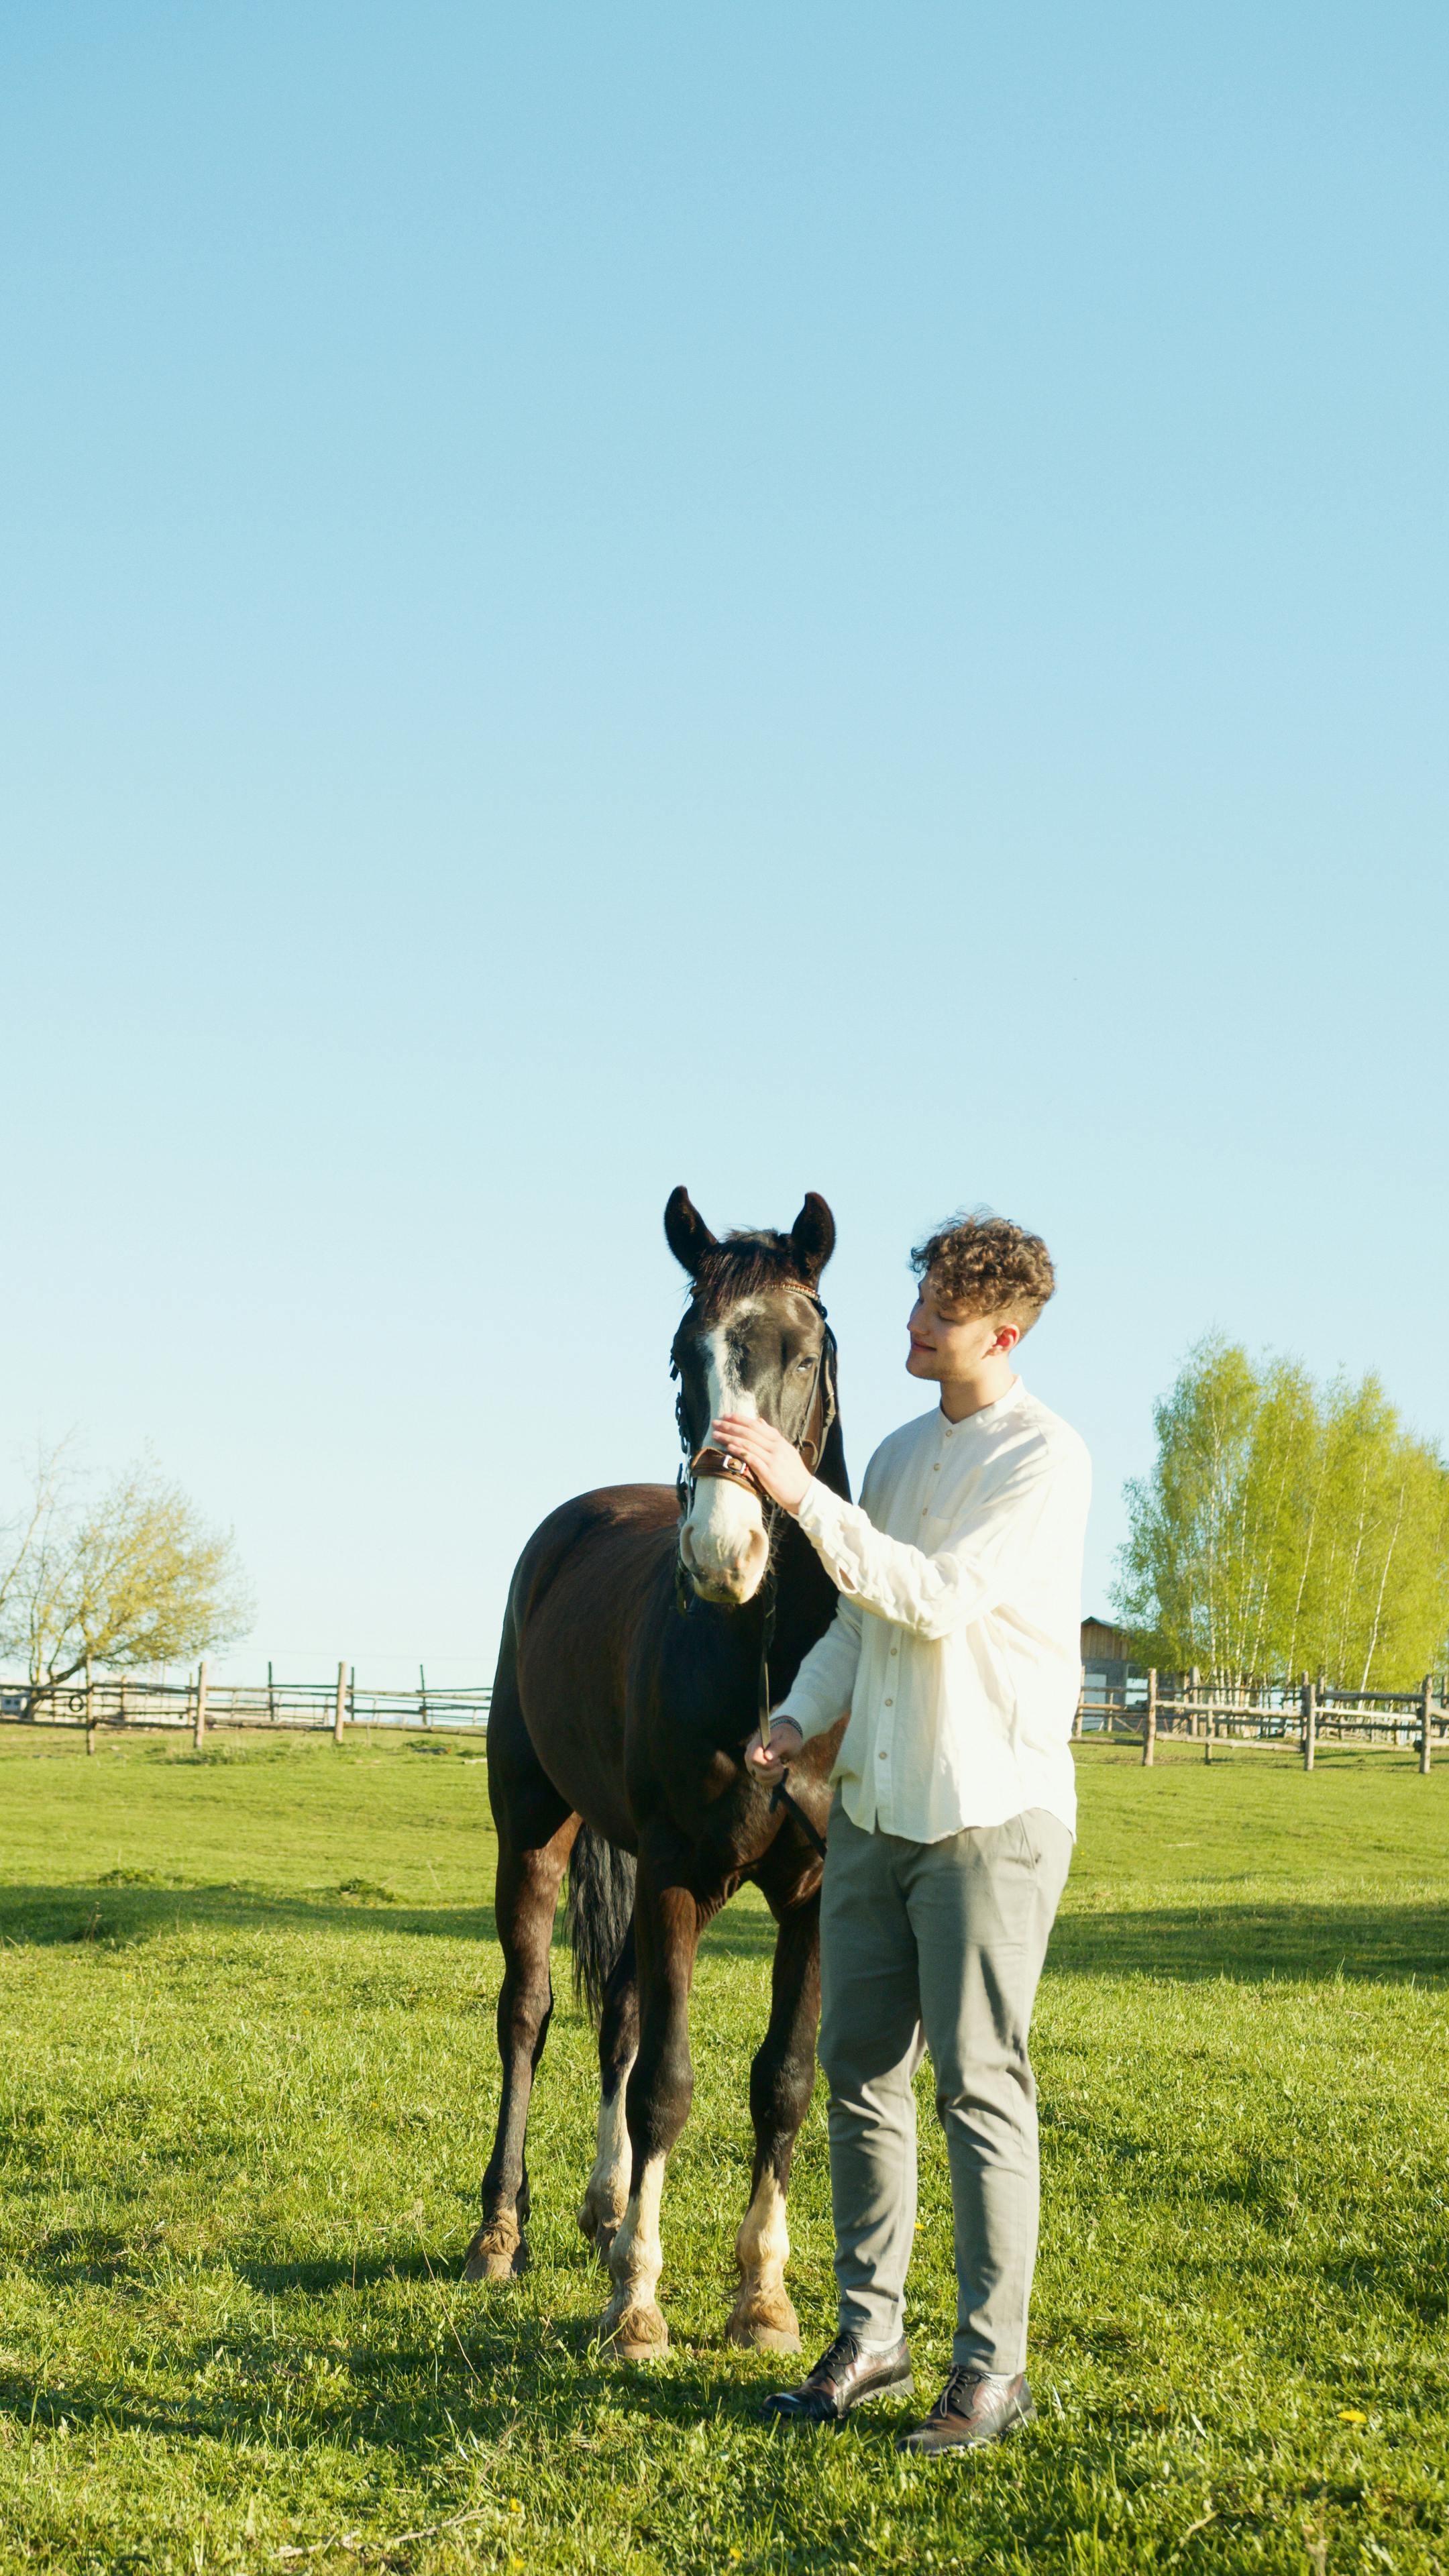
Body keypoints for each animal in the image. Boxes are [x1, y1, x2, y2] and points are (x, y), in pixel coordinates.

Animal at [463, 1187, 851, 2360]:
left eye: (803, 1354)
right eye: (687, 1356)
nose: (723, 1557)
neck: (770, 1667)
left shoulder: (813, 1893)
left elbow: (782, 2084)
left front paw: (762, 2295)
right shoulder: (679, 1872)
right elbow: (669, 2087)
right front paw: (638, 2305)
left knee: (621, 2018)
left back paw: (601, 2207)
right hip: (534, 1832)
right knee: (531, 2013)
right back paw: (501, 2234)